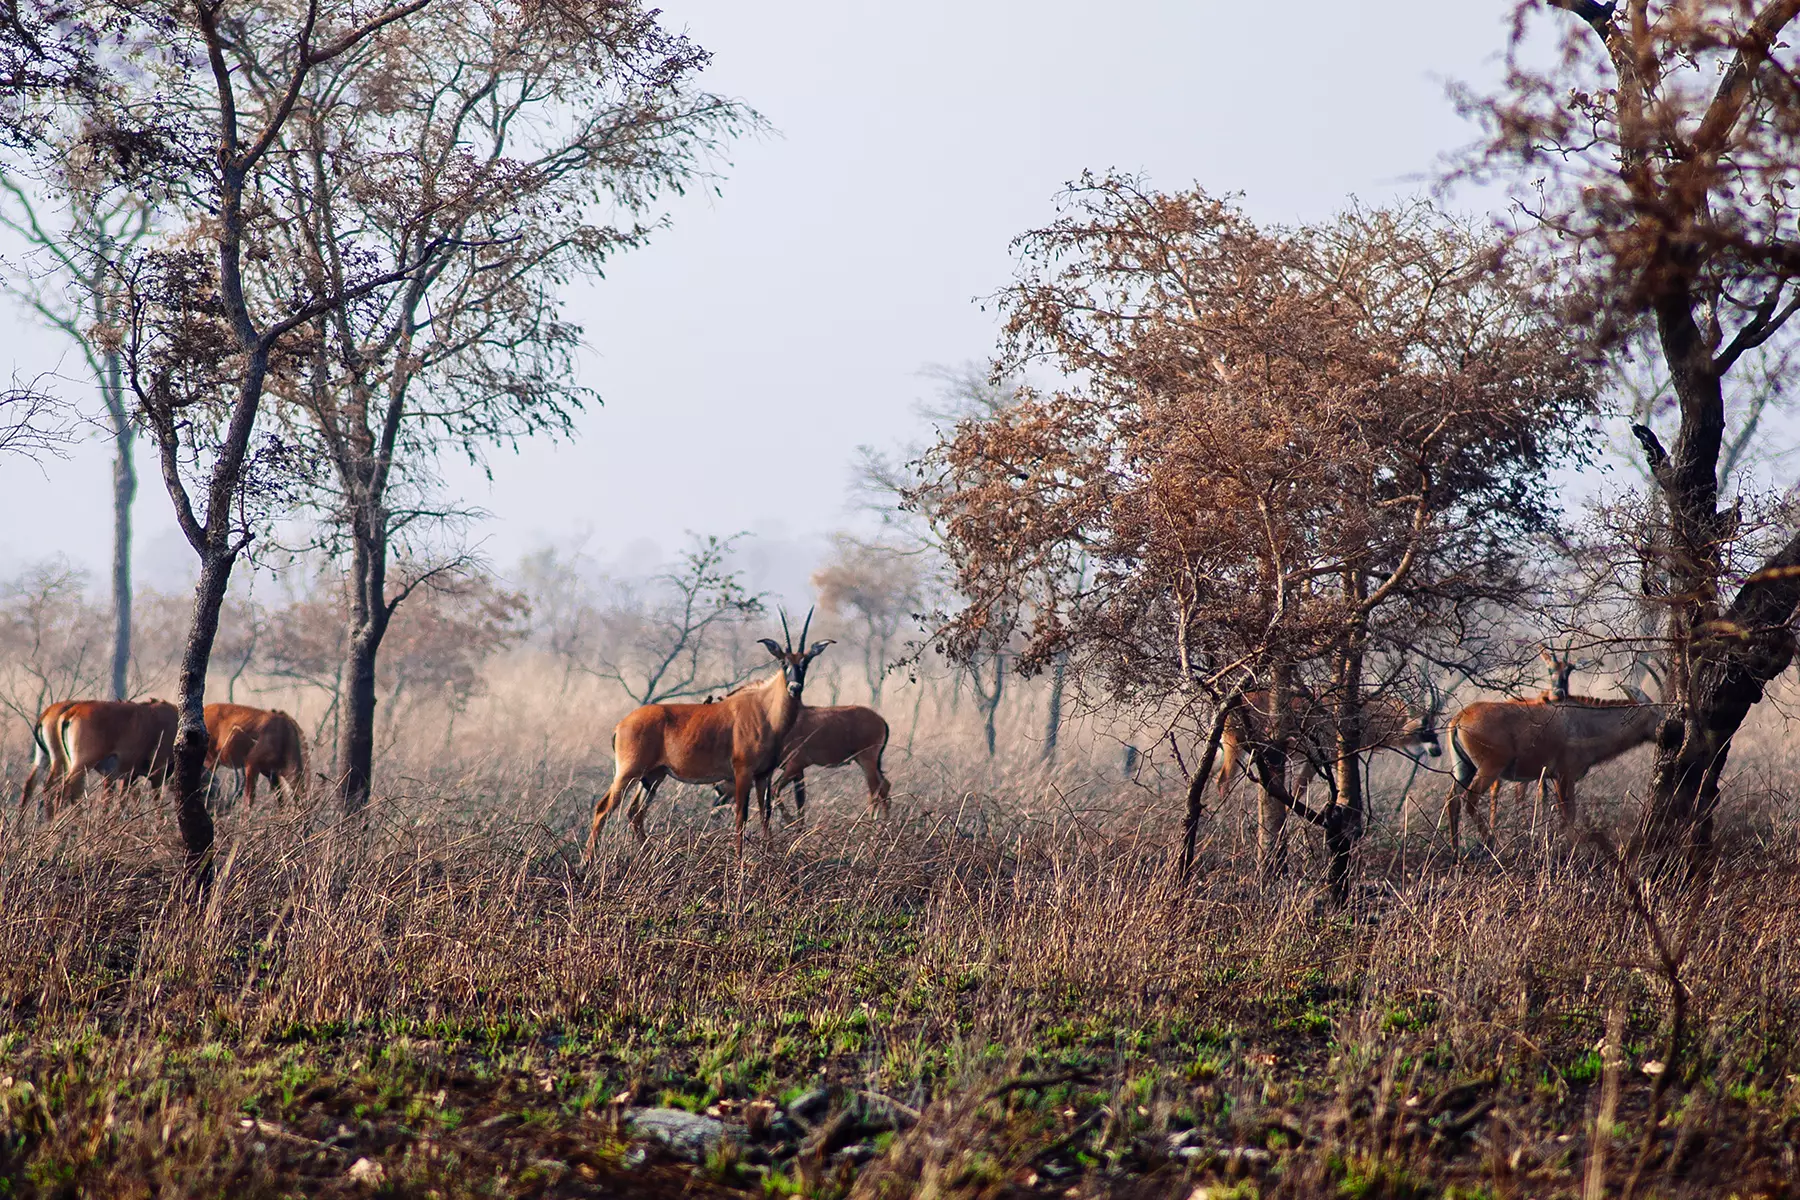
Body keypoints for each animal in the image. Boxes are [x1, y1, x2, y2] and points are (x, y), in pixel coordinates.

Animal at [583, 615, 835, 859]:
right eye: (783, 662)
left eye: (805, 662)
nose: (795, 687)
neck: (765, 709)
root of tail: (620, 725)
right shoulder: (742, 772)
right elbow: (741, 817)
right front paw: (739, 862)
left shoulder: (764, 774)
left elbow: (766, 815)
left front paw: (770, 857)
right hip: (628, 773)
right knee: (603, 808)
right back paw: (589, 862)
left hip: (653, 776)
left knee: (635, 813)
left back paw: (650, 857)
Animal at [709, 705, 892, 827]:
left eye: (718, 788)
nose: (714, 813)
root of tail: (882, 721)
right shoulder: (796, 770)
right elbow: (799, 797)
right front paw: (798, 826)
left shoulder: (796, 763)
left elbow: (774, 790)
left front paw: (790, 821)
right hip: (865, 760)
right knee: (884, 785)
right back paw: (885, 824)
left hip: (867, 758)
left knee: (875, 788)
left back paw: (870, 822)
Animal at [1209, 690, 1447, 802]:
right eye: (1422, 724)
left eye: (1434, 723)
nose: (1437, 750)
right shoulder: (1321, 757)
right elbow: (1300, 789)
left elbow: (1299, 790)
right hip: (1234, 746)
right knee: (1222, 780)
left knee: (1212, 774)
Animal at [1440, 683, 1663, 852]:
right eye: (1657, 712)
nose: (1669, 732)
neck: (1583, 722)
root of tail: (1459, 718)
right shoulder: (1563, 775)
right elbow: (1568, 815)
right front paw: (1569, 846)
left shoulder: (1558, 778)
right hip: (1490, 769)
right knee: (1470, 799)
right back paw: (1490, 843)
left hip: (1464, 769)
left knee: (1452, 800)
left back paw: (1455, 852)